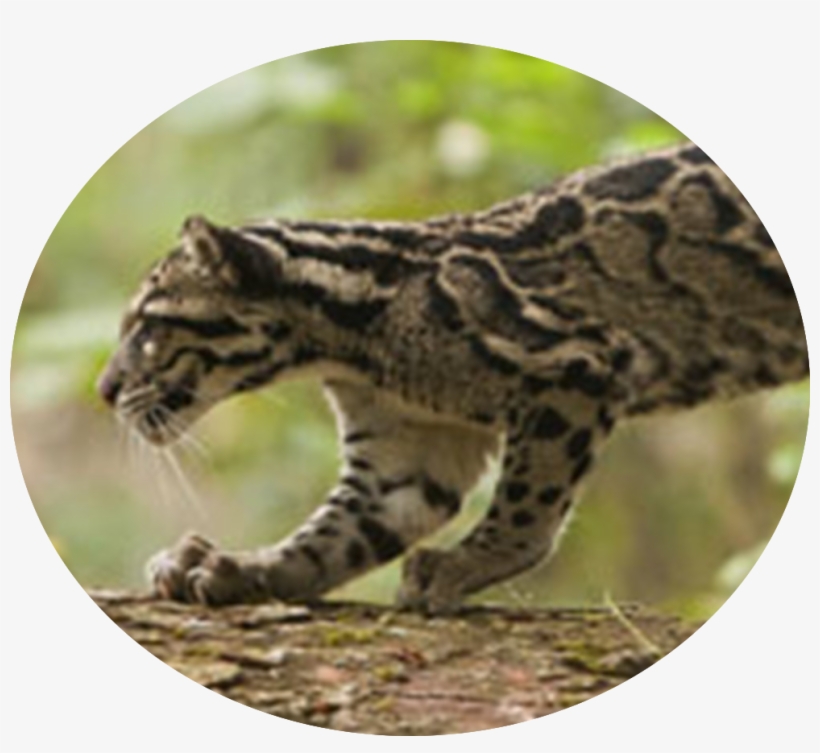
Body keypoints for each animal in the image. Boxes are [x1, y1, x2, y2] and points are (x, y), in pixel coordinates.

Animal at [97, 142, 808, 615]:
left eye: (147, 326)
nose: (104, 391)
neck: (349, 339)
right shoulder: (403, 457)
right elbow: (329, 540)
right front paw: (242, 569)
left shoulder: (576, 364)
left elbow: (528, 500)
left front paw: (465, 564)